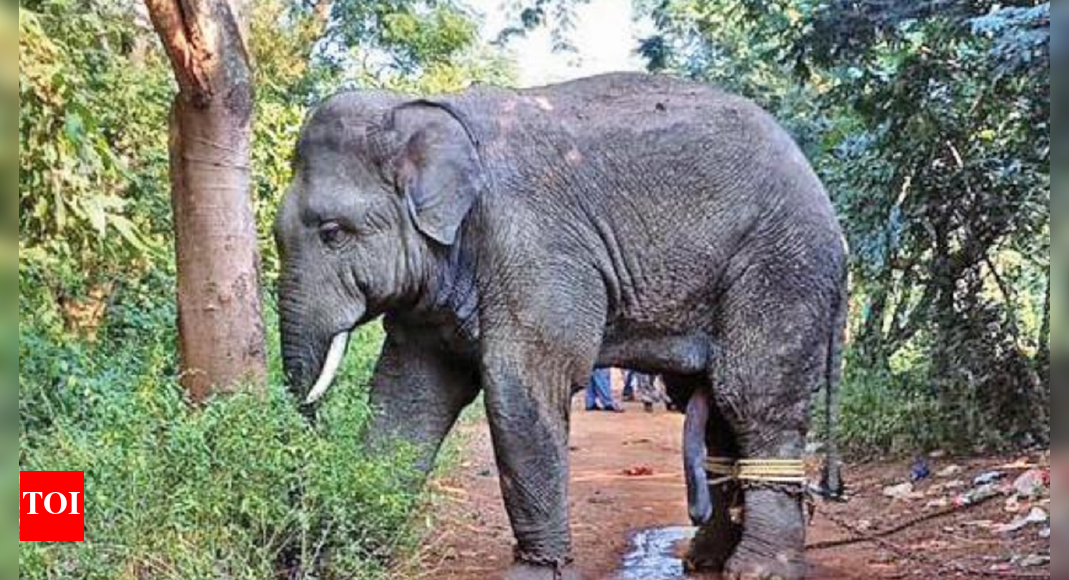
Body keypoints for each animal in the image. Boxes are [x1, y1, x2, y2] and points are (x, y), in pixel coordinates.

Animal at [274, 72, 848, 580]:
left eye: (332, 232)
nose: (296, 552)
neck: (422, 108)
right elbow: (408, 393)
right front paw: (354, 549)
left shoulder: (535, 246)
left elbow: (521, 386)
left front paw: (535, 571)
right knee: (710, 407)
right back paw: (702, 559)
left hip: (779, 268)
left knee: (753, 397)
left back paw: (758, 570)